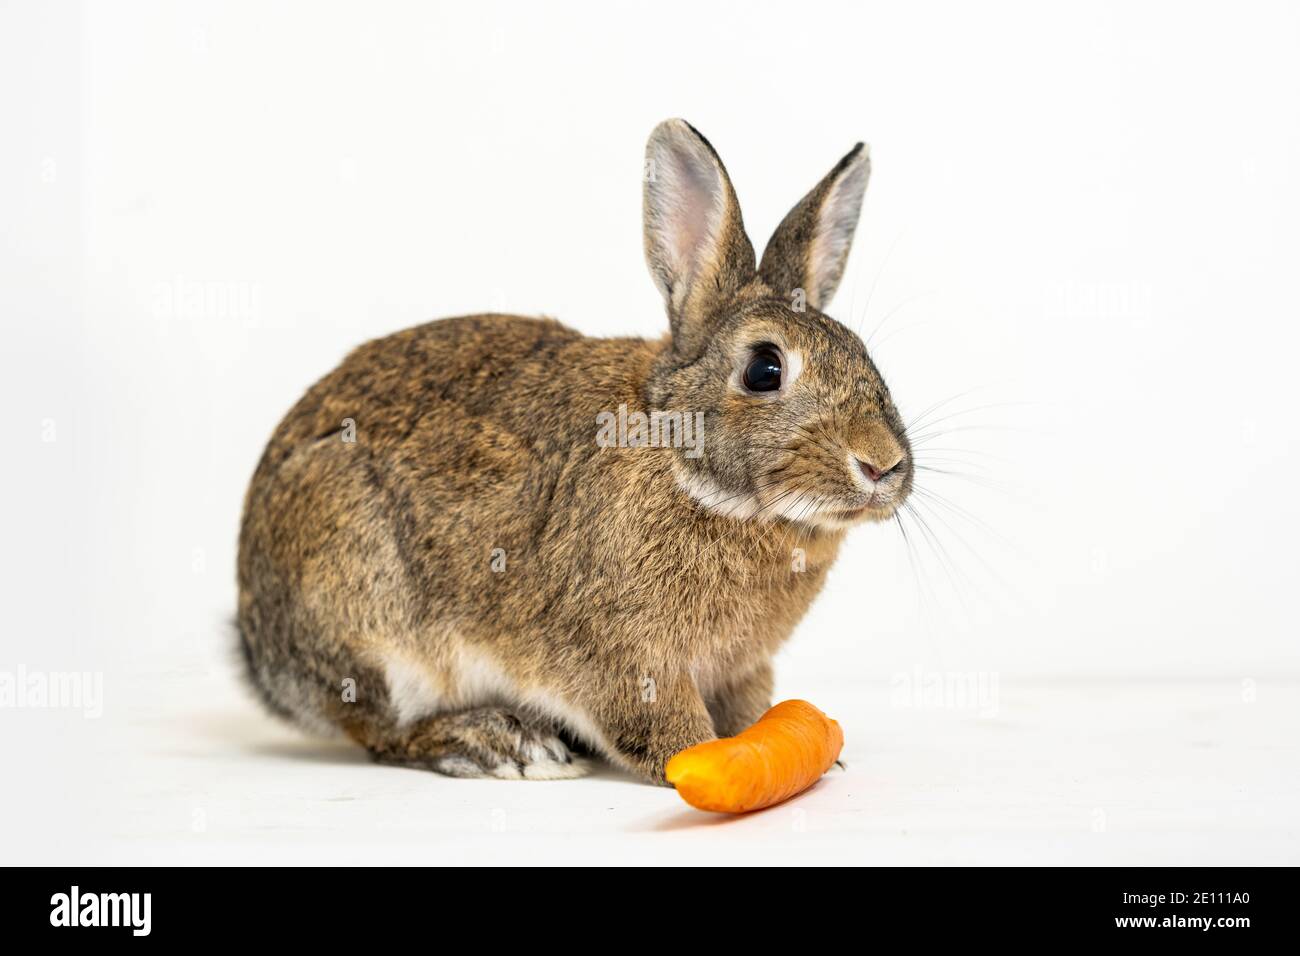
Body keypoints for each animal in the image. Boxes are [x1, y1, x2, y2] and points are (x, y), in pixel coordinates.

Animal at [236, 119, 913, 783]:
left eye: (863, 354)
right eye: (765, 369)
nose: (882, 464)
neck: (682, 460)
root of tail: (259, 653)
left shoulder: (743, 668)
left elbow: (753, 709)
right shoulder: (628, 657)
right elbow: (660, 722)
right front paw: (697, 757)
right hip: (371, 615)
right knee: (385, 733)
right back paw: (503, 743)